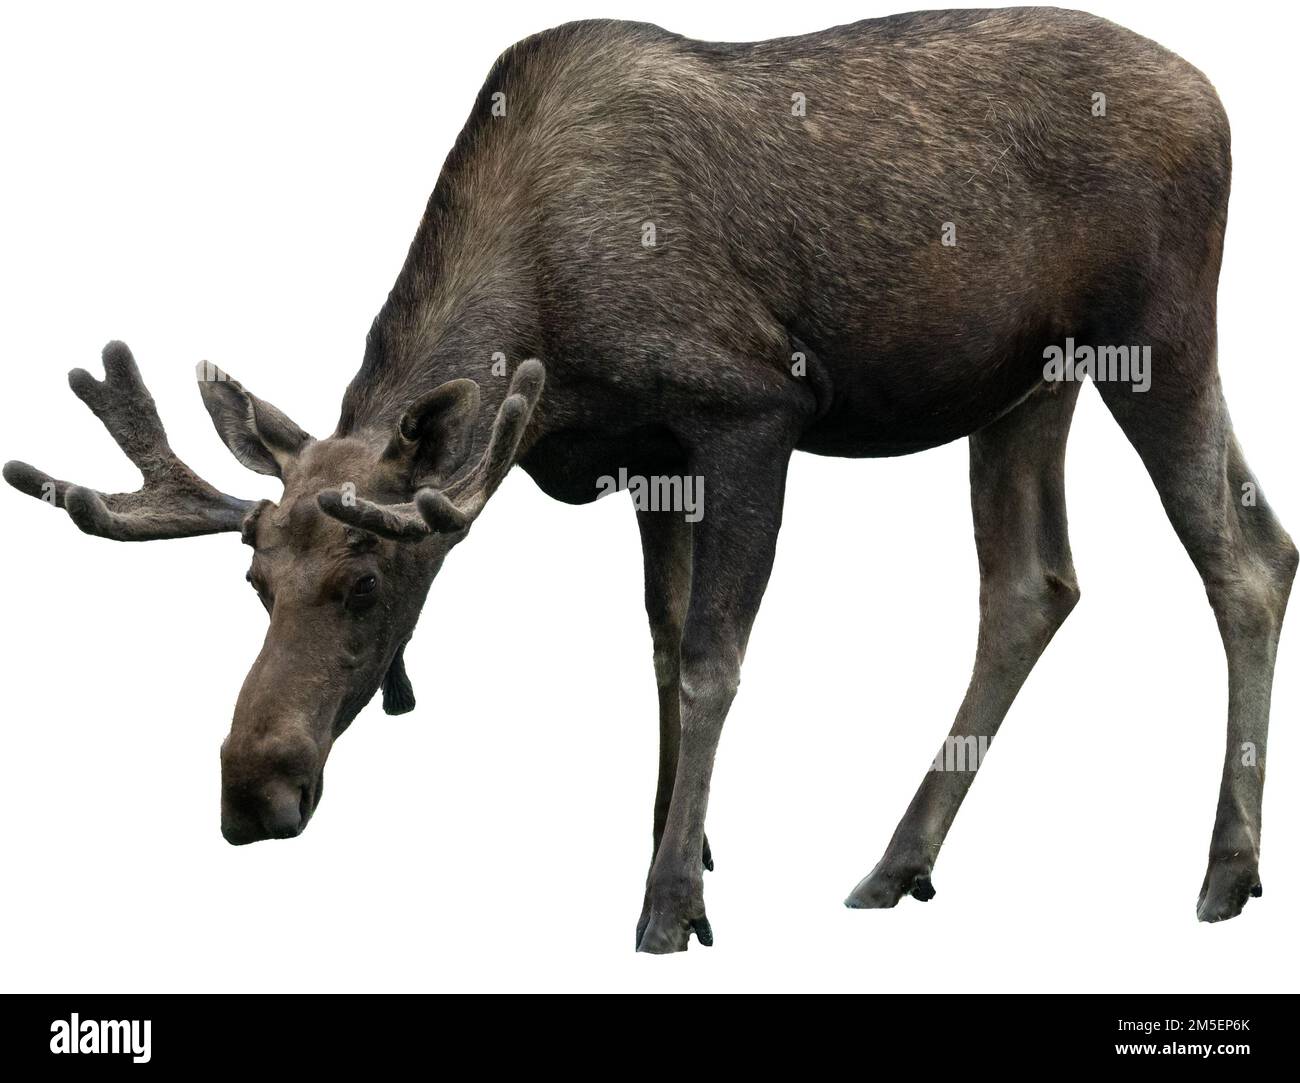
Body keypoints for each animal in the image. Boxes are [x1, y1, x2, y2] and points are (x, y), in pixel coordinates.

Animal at [6, 9, 1296, 953]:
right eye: (254, 581)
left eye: (368, 580)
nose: (250, 792)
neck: (548, 339)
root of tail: (1221, 103)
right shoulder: (653, 458)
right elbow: (662, 647)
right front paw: (684, 852)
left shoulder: (749, 411)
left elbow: (714, 658)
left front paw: (668, 901)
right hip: (1026, 382)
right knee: (1042, 582)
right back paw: (897, 862)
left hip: (1157, 333)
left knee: (1239, 557)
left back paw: (1224, 870)